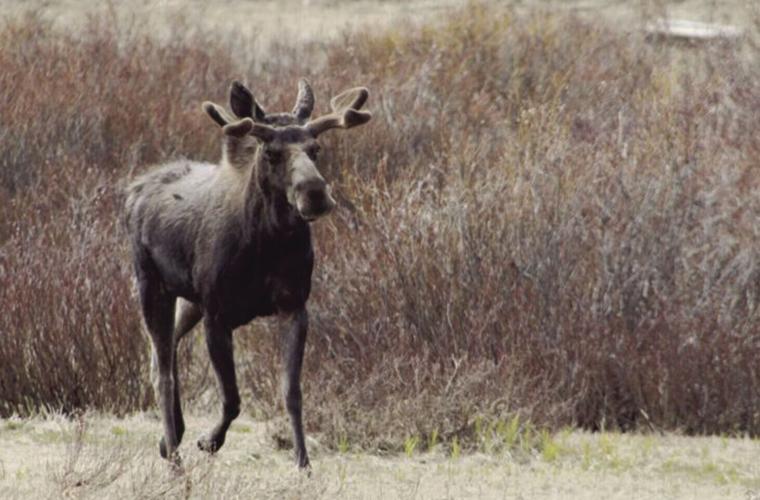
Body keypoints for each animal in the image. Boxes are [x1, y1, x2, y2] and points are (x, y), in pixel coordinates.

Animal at [123, 79, 371, 468]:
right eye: (270, 152)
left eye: (315, 148)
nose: (315, 194)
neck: (267, 247)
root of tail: (133, 190)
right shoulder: (217, 313)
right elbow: (232, 398)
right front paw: (209, 441)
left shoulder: (295, 307)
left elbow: (292, 391)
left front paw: (303, 462)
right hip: (151, 284)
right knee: (162, 368)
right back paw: (176, 459)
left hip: (189, 299)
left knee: (165, 350)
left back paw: (170, 438)